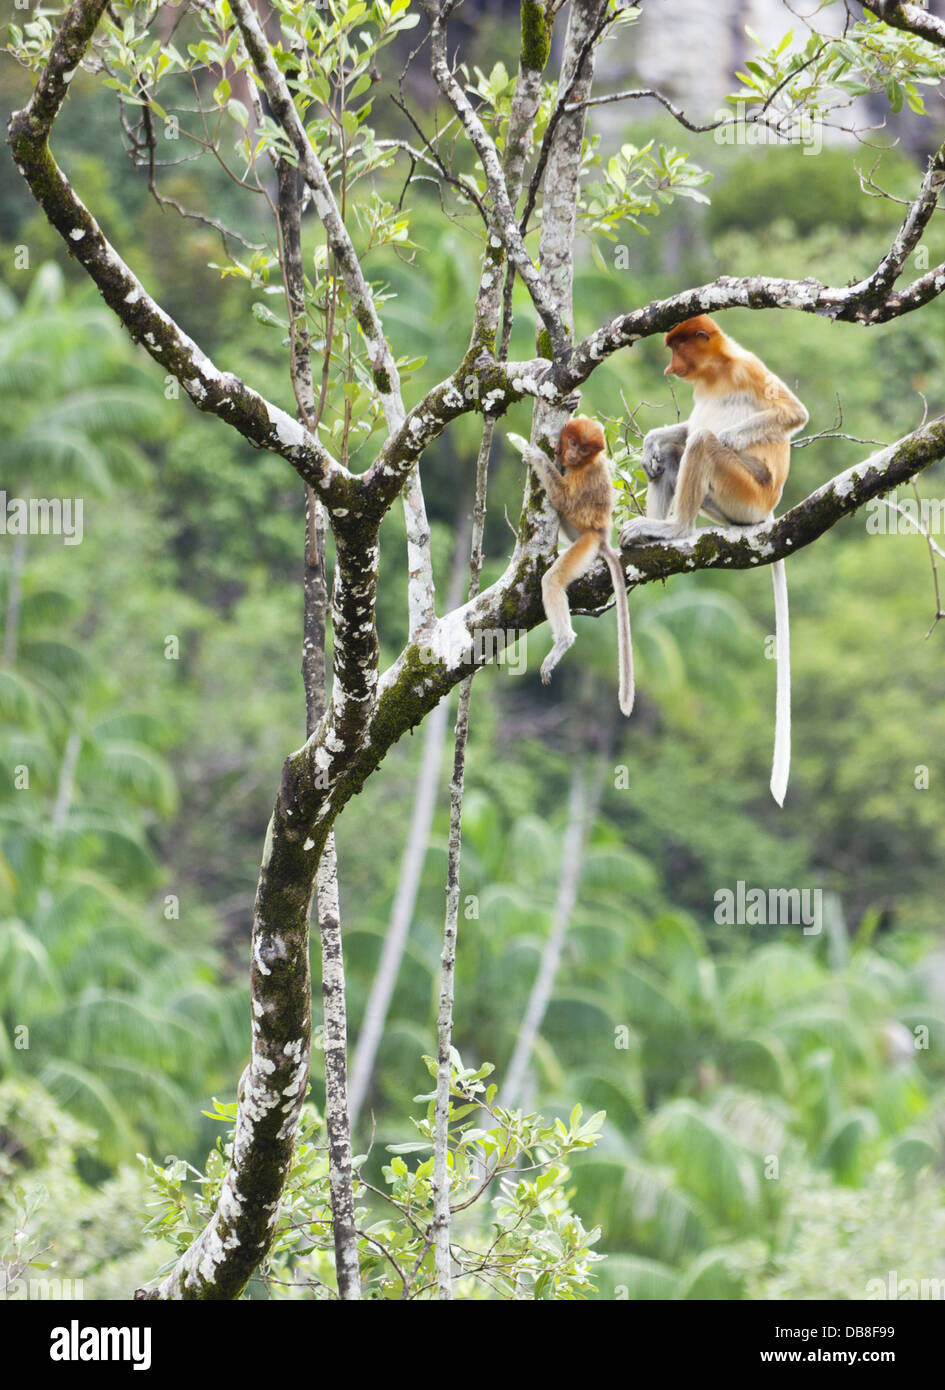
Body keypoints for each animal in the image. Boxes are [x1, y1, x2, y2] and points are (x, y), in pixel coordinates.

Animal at [523, 417, 634, 716]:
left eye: (584, 450)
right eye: (573, 443)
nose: (572, 454)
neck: (583, 464)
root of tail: (602, 536)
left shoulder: (586, 474)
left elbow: (563, 497)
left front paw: (537, 457)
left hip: (585, 542)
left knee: (551, 580)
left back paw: (563, 641)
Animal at [619, 315, 808, 805]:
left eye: (678, 349)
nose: (670, 369)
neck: (715, 374)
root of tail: (765, 512)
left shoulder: (747, 367)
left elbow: (792, 414)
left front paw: (722, 435)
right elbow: (677, 437)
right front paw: (653, 441)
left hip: (744, 491)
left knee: (701, 446)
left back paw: (674, 529)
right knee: (674, 456)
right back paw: (650, 525)